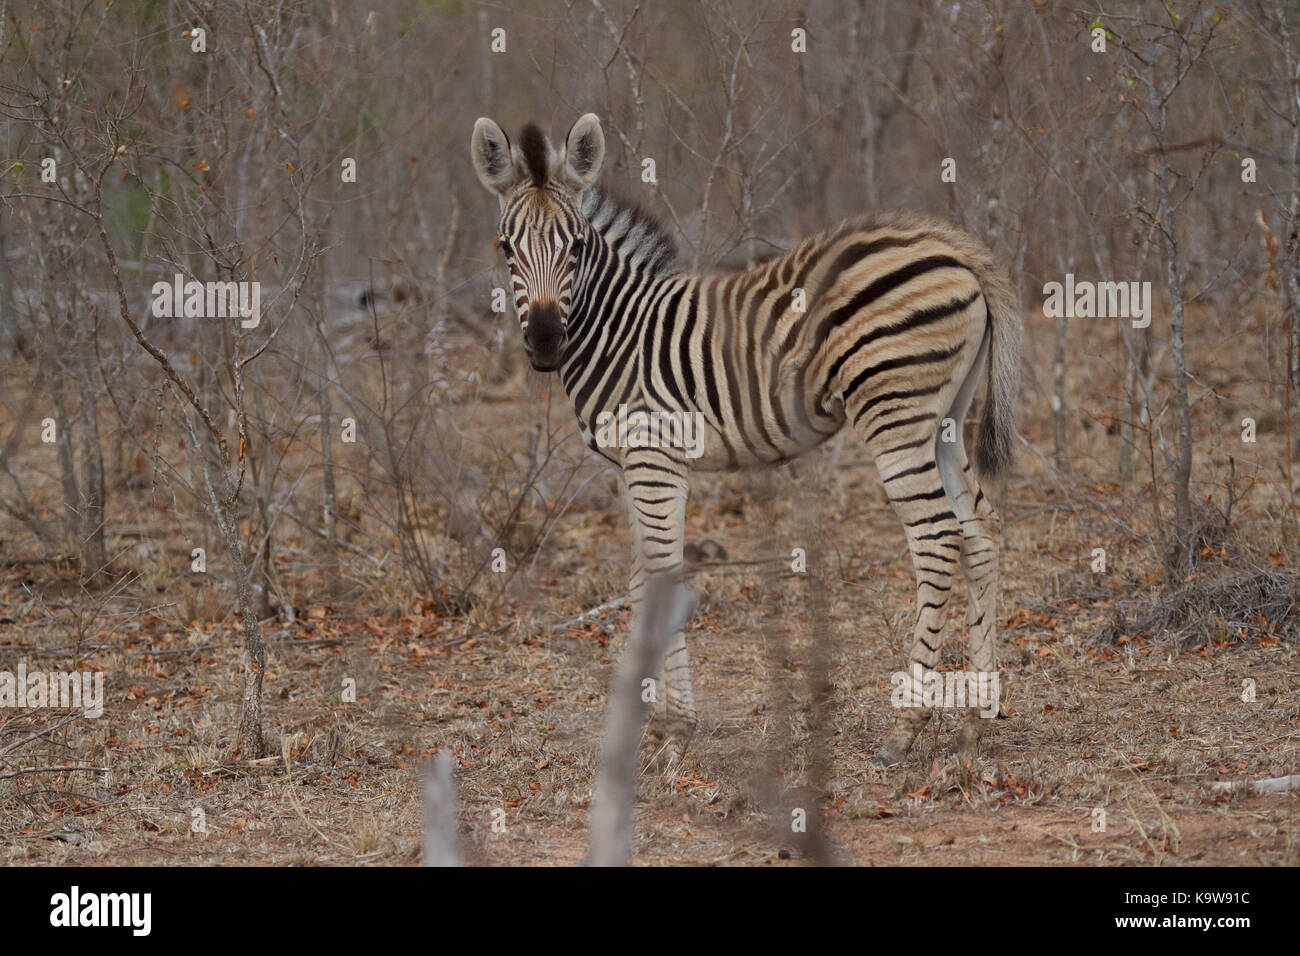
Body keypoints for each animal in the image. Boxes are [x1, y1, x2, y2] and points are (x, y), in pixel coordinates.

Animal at [470, 113, 1022, 765]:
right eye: (505, 246)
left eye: (576, 246)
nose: (545, 343)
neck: (618, 330)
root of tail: (953, 248)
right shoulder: (632, 465)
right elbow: (639, 580)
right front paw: (651, 723)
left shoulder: (654, 458)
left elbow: (662, 575)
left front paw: (678, 731)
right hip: (944, 419)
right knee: (980, 530)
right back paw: (978, 719)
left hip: (894, 413)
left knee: (936, 539)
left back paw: (905, 726)